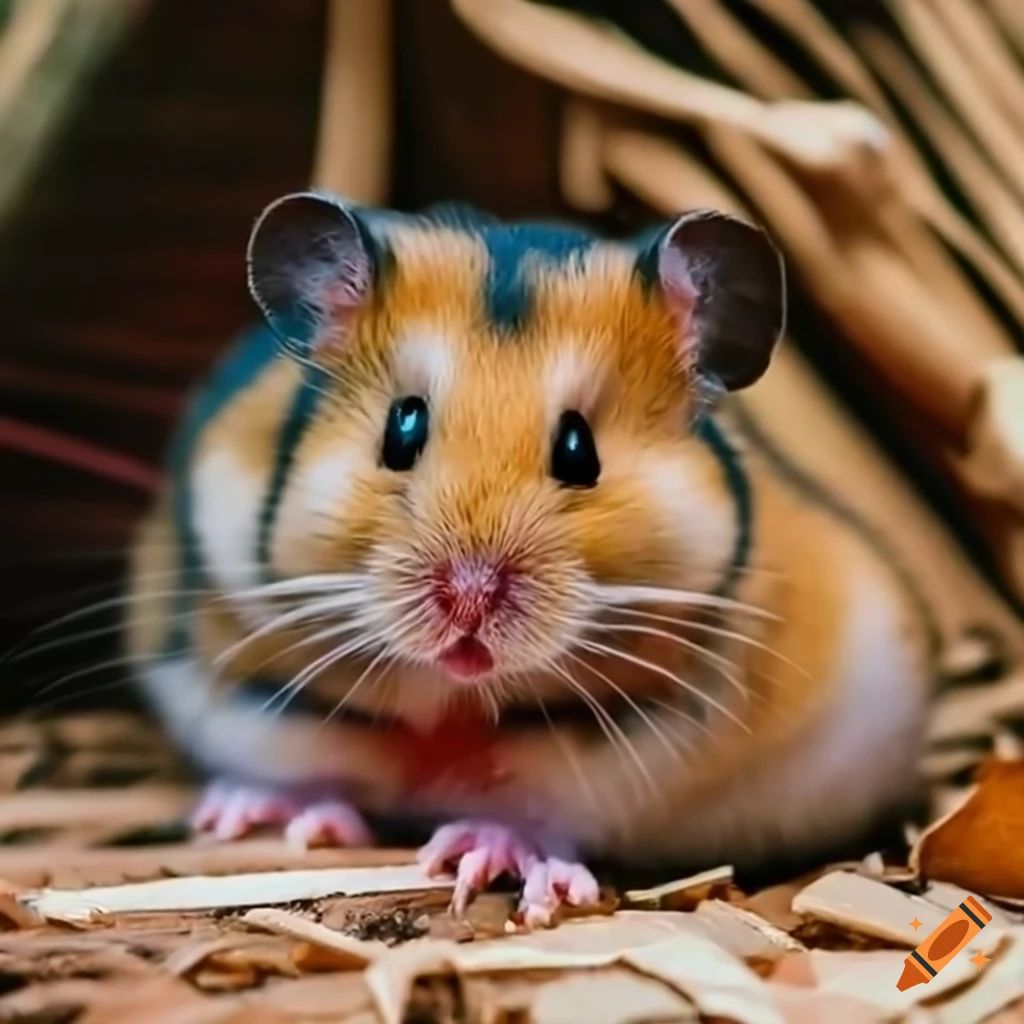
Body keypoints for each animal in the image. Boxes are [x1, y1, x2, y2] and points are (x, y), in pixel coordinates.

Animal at [125, 191, 938, 924]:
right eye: (401, 428)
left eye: (580, 450)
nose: (467, 600)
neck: (453, 703)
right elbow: (306, 759)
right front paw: (249, 815)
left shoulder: (645, 739)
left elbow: (543, 805)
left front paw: (483, 855)